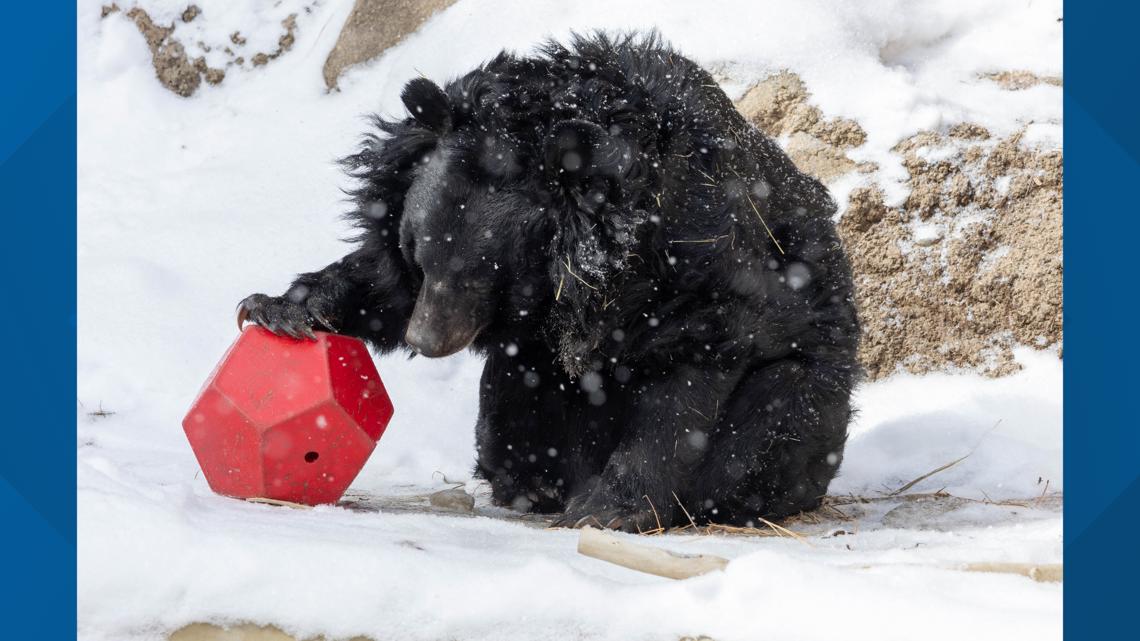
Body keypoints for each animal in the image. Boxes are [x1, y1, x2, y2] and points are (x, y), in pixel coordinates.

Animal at [237, 32, 861, 532]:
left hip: (806, 406)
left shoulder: (703, 261)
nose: (426, 341)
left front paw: (609, 509)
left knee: (761, 430)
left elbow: (688, 381)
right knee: (509, 428)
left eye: (480, 274)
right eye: (420, 255)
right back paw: (536, 487)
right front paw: (278, 310)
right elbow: (383, 286)